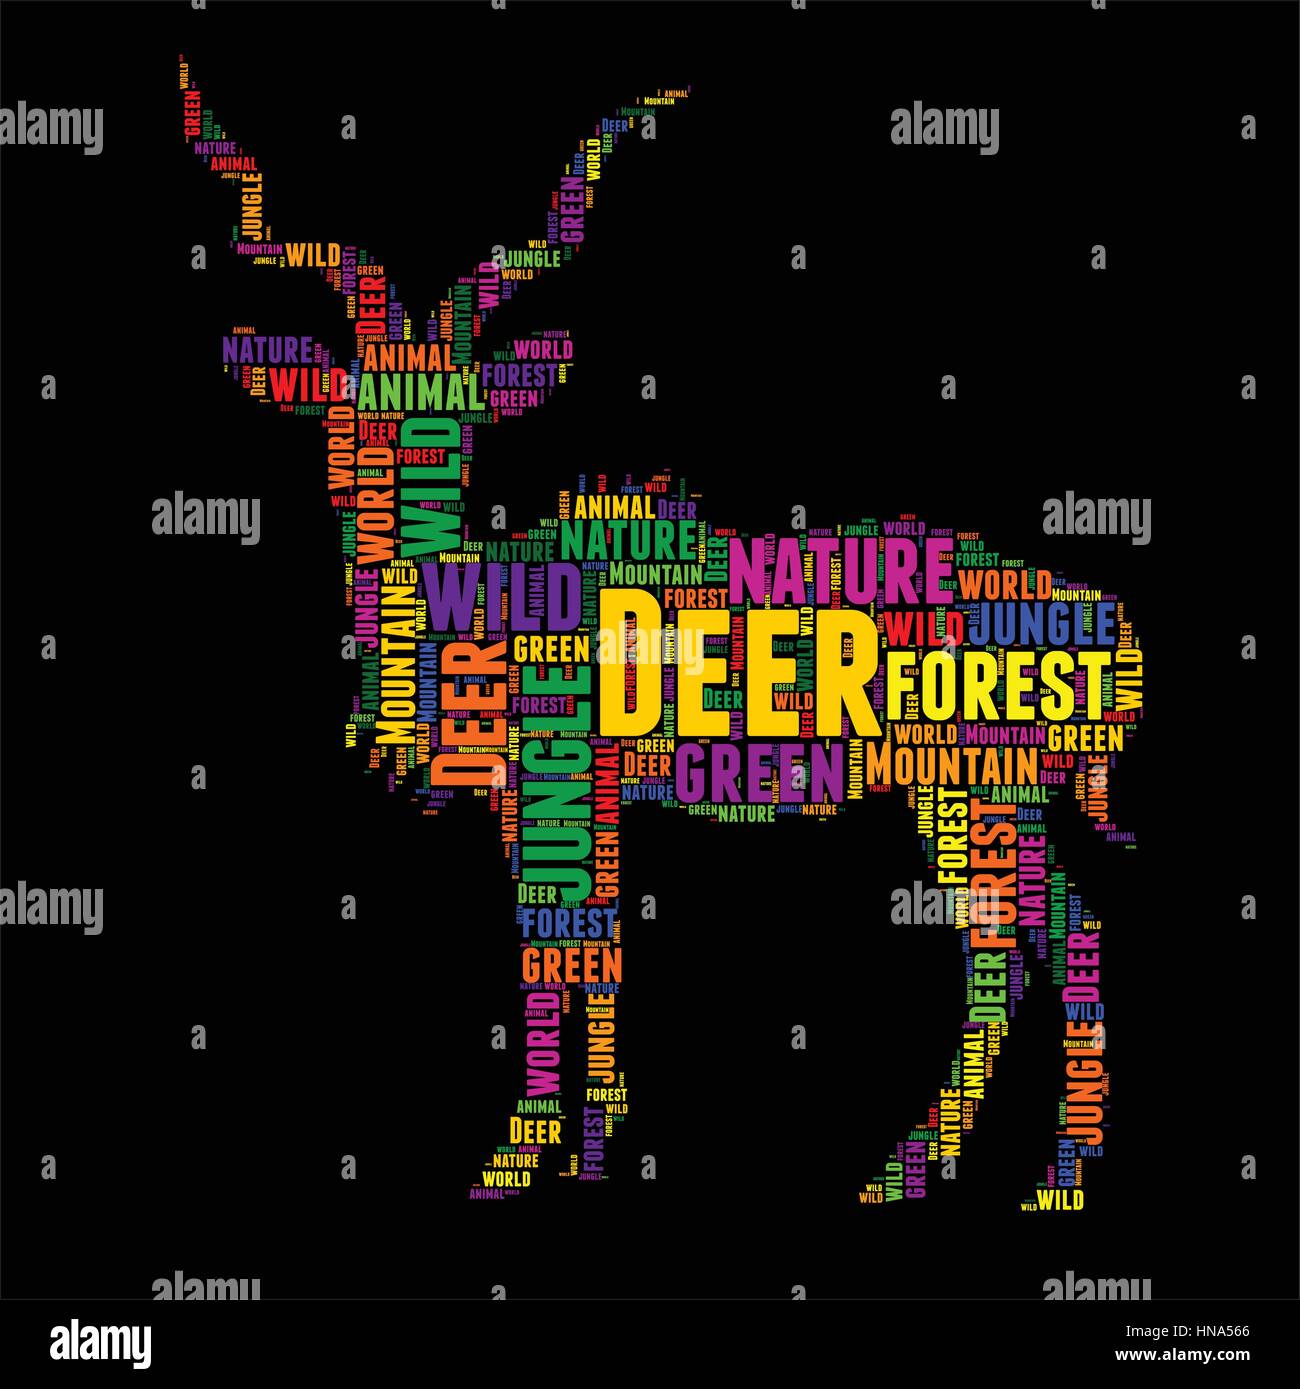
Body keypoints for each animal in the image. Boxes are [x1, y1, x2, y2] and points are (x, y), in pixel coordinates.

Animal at [179, 57, 1142, 1212]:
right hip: (978, 797)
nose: (406, 508)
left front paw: (532, 1155)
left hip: (982, 791)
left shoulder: (569, 785)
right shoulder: (546, 804)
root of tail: (1097, 614)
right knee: (1034, 944)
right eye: (352, 413)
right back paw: (974, 1175)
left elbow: (574, 941)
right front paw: (572, 1149)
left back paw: (977, 1175)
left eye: (463, 415)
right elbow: (562, 944)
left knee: (1032, 947)